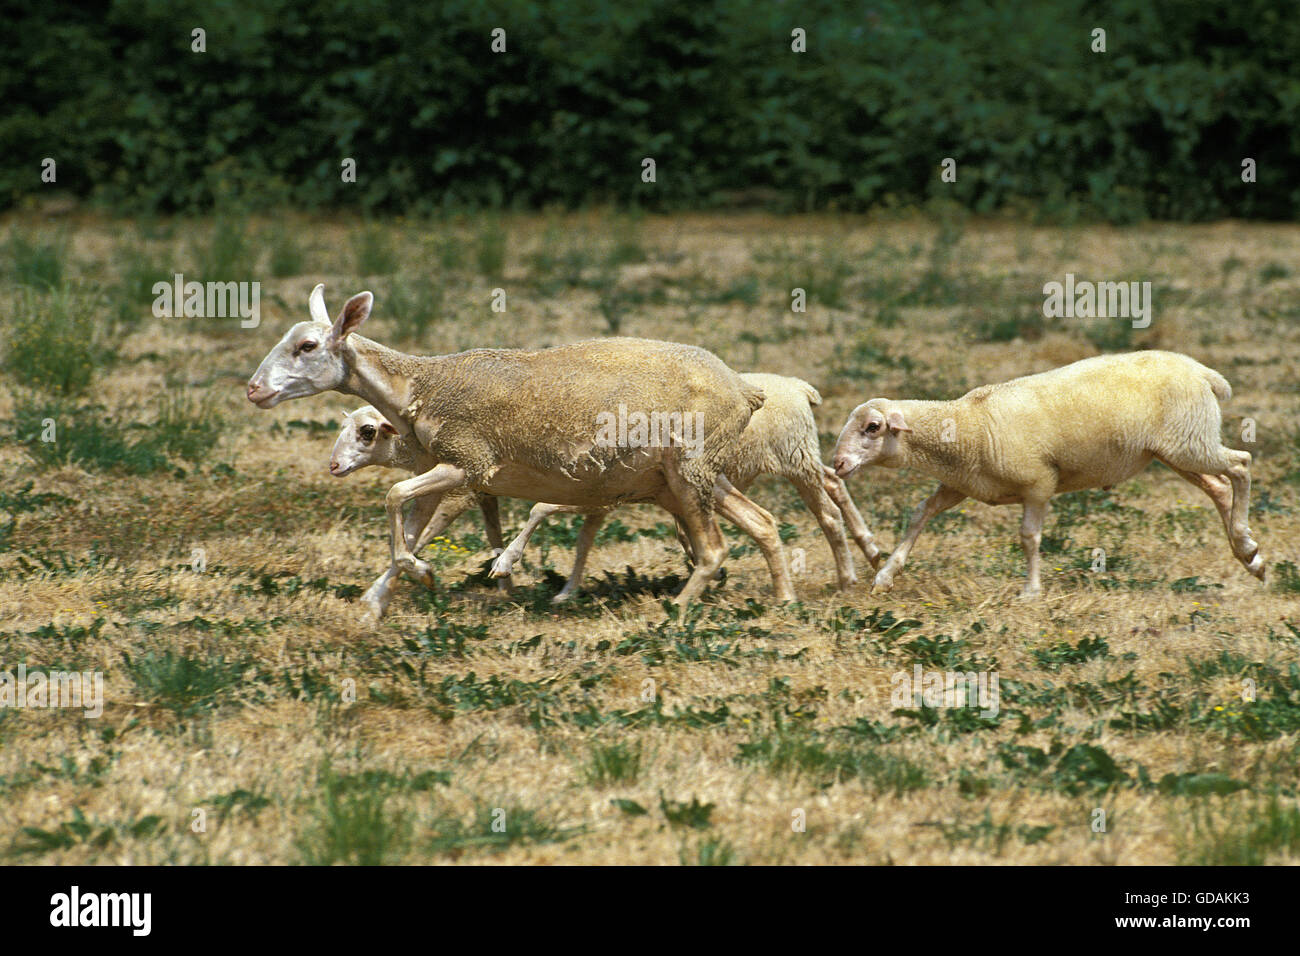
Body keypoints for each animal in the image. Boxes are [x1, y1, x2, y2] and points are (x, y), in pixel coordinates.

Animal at [247, 284, 796, 606]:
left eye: (307, 346)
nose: (253, 390)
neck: (421, 386)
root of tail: (744, 389)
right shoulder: (445, 472)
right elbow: (409, 521)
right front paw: (380, 602)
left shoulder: (468, 463)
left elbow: (393, 498)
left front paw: (424, 575)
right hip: (690, 477)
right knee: (763, 523)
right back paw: (783, 602)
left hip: (689, 469)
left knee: (714, 549)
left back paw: (676, 613)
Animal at [489, 372, 882, 597]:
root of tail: (799, 388)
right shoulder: (603, 499)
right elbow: (584, 539)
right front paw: (567, 591)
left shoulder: (596, 494)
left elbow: (540, 509)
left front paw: (506, 563)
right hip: (798, 459)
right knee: (834, 483)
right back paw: (869, 552)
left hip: (794, 457)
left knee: (827, 511)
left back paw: (847, 577)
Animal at [831, 350, 1264, 597]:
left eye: (872, 428)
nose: (836, 464)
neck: (967, 425)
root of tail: (1203, 373)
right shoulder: (962, 485)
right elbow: (921, 513)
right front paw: (885, 576)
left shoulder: (1038, 484)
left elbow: (1029, 537)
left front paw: (1031, 590)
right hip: (1178, 449)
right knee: (1219, 487)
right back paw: (1249, 556)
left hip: (1190, 443)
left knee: (1240, 465)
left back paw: (1245, 541)